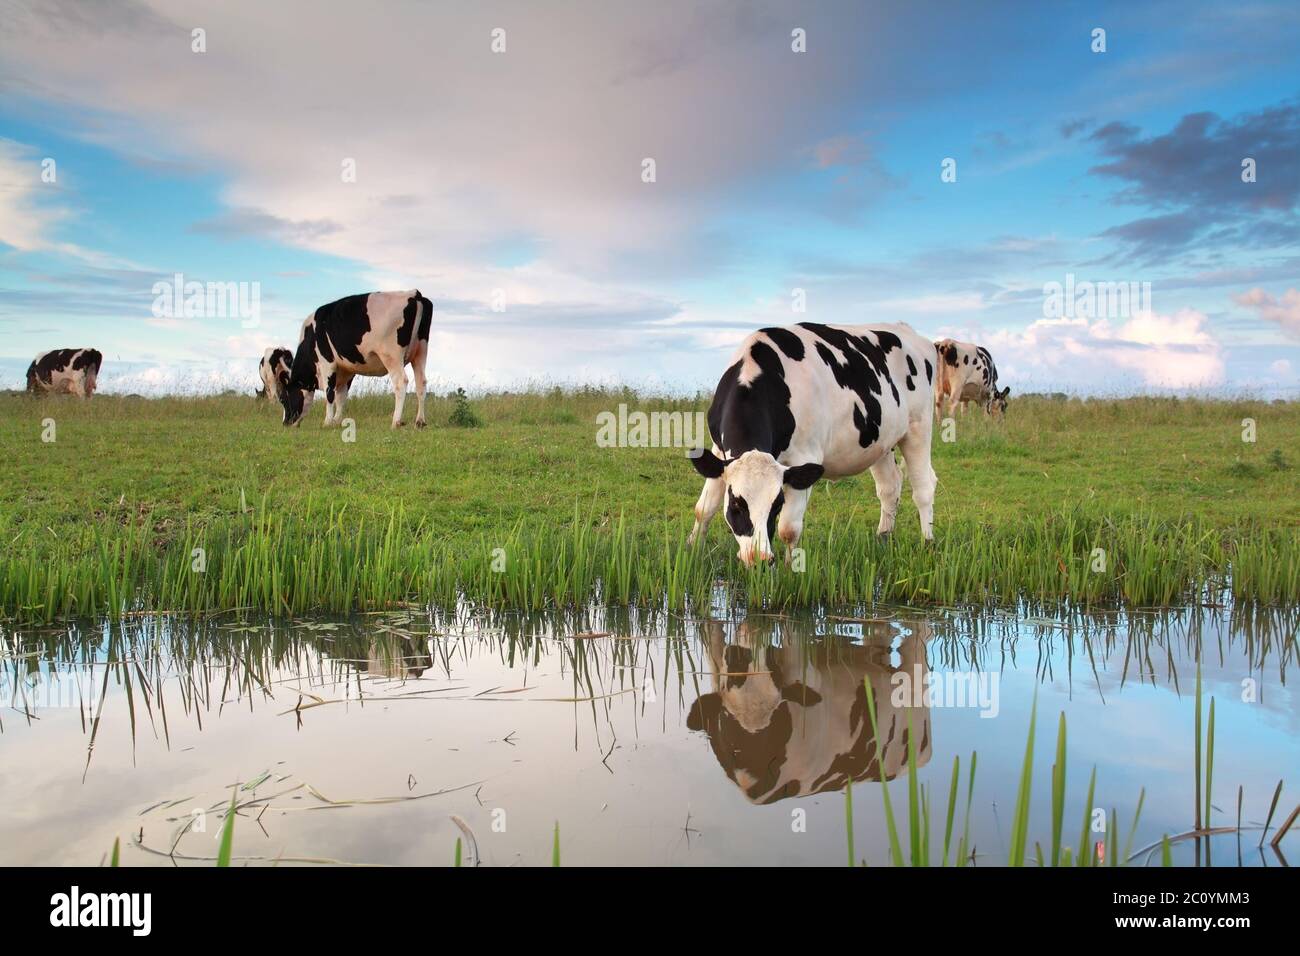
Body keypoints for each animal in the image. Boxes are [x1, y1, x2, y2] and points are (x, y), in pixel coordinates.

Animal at [280, 290, 433, 428]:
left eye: (283, 399)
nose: (285, 423)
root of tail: (413, 293)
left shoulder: (327, 363)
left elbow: (330, 394)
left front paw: (327, 422)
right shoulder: (347, 370)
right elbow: (341, 396)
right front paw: (337, 421)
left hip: (391, 356)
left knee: (401, 382)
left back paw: (396, 422)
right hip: (420, 351)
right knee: (421, 383)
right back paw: (420, 421)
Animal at [687, 322, 938, 566]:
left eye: (777, 504)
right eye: (736, 505)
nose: (759, 559)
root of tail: (907, 330)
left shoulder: (805, 458)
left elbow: (788, 529)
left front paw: (789, 569)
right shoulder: (719, 451)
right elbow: (704, 509)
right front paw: (693, 553)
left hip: (919, 426)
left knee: (924, 487)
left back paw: (927, 544)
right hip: (881, 442)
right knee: (889, 486)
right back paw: (882, 539)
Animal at [687, 617, 932, 804]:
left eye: (774, 672)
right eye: (726, 719)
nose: (751, 635)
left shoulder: (802, 669)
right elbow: (711, 643)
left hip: (915, 680)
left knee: (920, 640)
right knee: (880, 639)